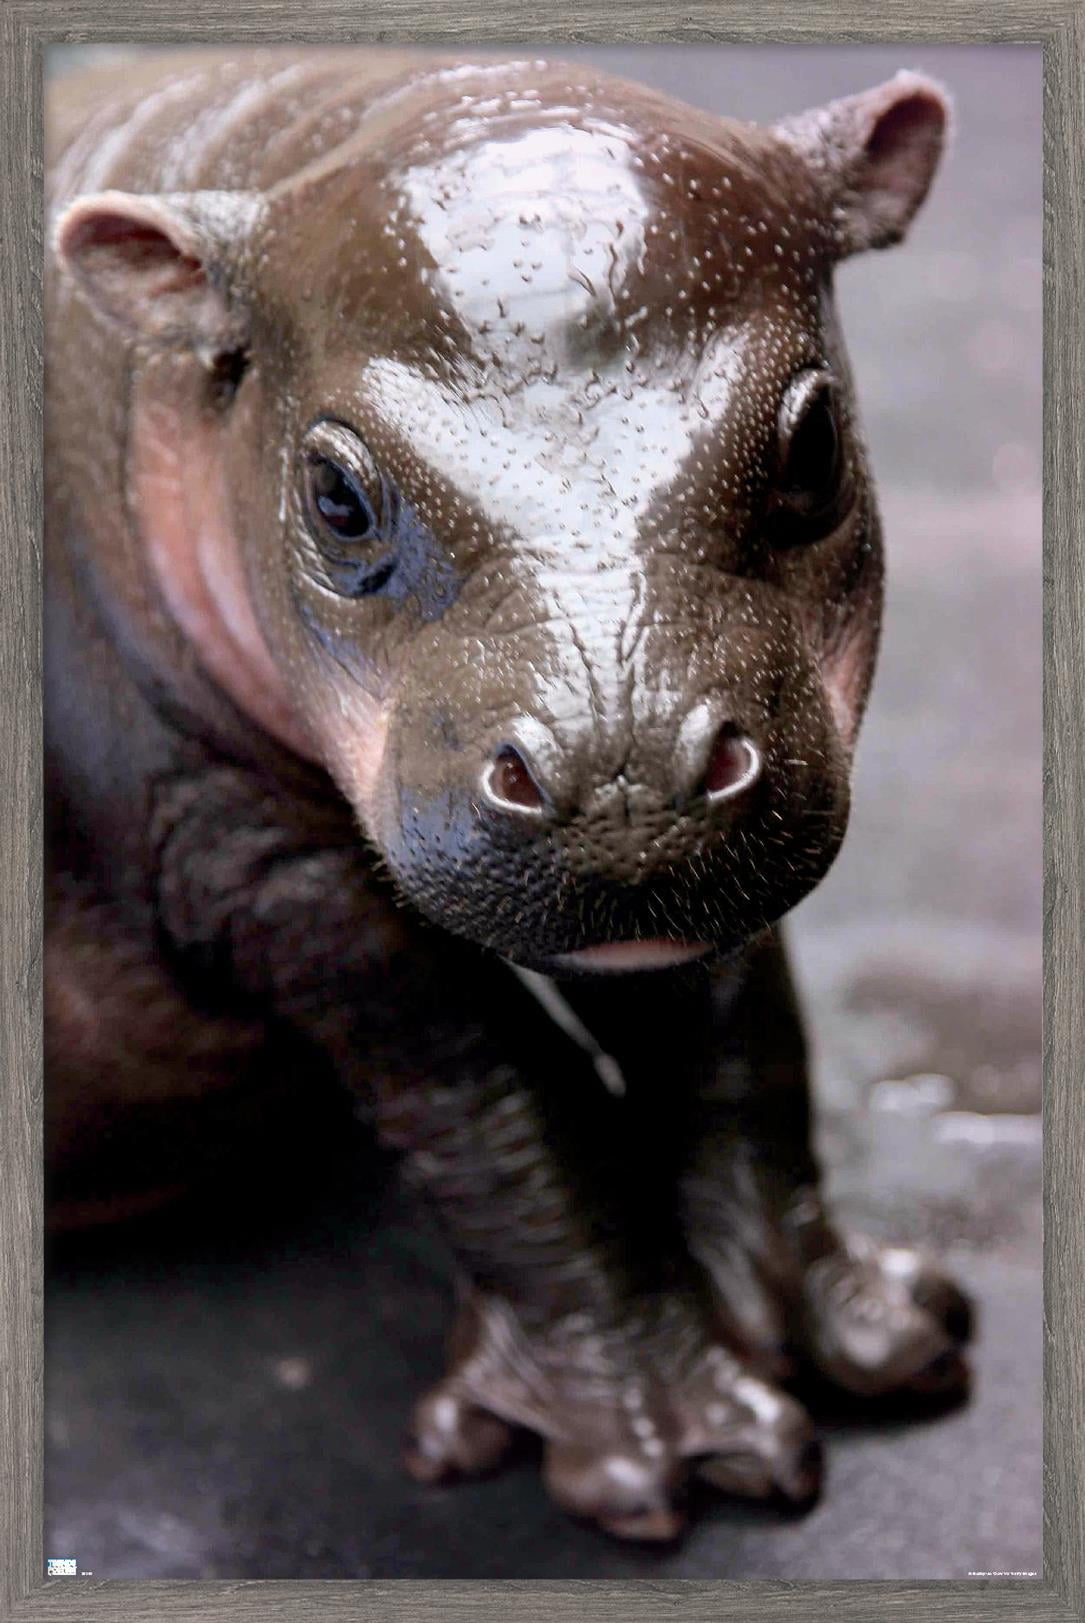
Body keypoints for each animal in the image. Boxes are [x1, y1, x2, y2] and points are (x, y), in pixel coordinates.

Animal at [45, 49, 971, 1543]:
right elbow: (494, 1091)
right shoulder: (252, 861)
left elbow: (737, 1028)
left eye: (815, 436)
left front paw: (864, 1334)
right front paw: (657, 1446)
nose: (622, 776)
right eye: (334, 491)